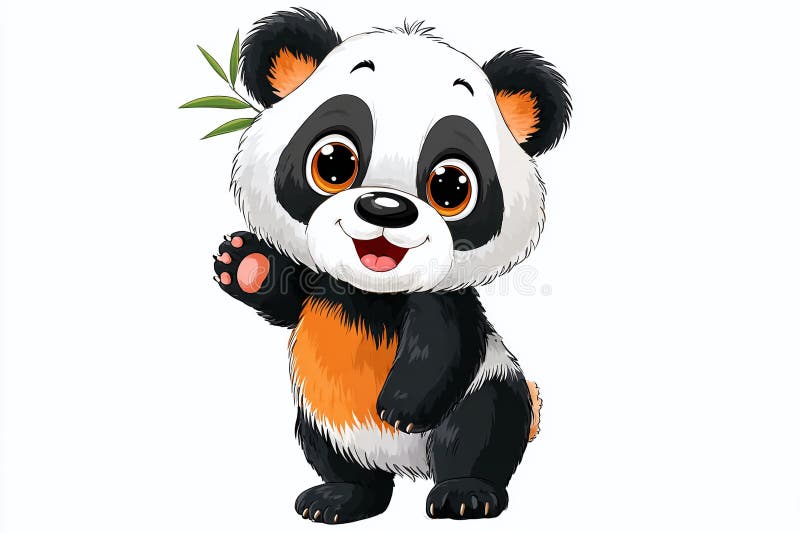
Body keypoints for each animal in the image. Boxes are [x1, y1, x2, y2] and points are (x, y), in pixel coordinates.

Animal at [211, 8, 570, 524]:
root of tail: (406, 464)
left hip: (492, 385)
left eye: (451, 186)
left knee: (478, 430)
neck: (372, 291)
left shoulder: (446, 305)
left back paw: (465, 494)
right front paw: (244, 262)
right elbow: (289, 300)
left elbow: (445, 342)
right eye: (333, 161)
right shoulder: (323, 286)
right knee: (337, 457)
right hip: (320, 418)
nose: (385, 209)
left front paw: (401, 406)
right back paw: (339, 498)